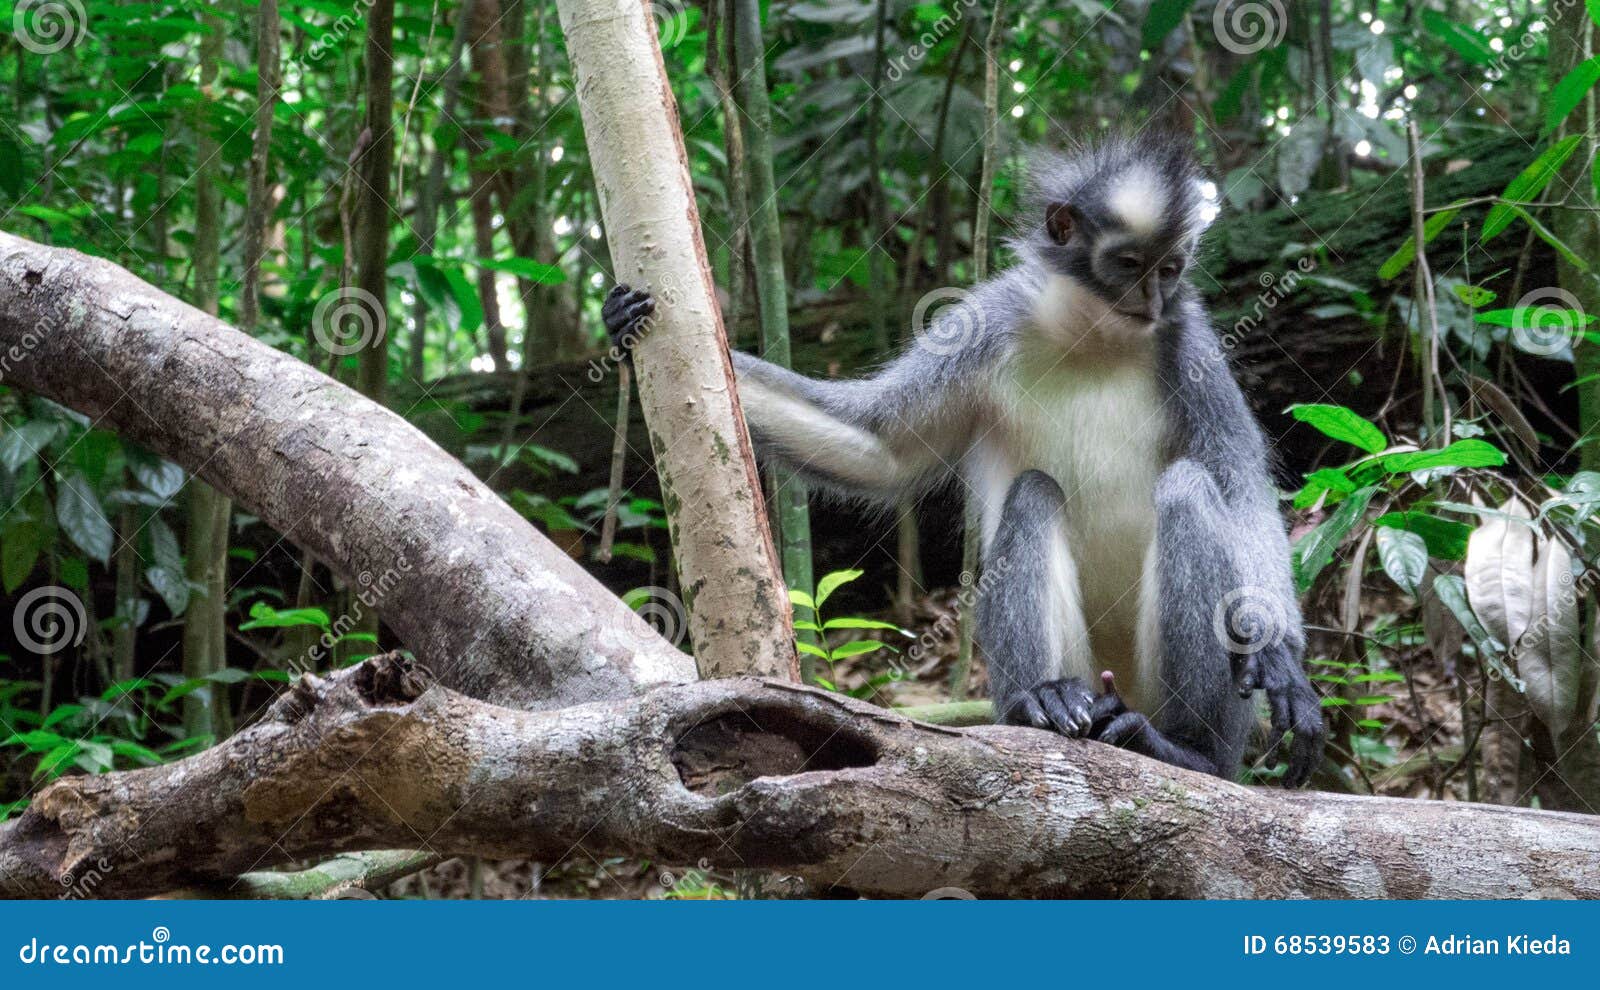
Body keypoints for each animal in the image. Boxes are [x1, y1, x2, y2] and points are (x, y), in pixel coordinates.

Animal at [603, 131, 1325, 786]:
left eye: (1170, 270)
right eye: (1128, 263)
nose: (1150, 301)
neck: (1093, 336)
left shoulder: (1189, 339)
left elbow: (1238, 481)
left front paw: (1280, 658)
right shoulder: (987, 324)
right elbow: (882, 451)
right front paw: (621, 326)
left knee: (1188, 487)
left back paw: (1183, 751)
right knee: (1034, 493)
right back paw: (1044, 704)